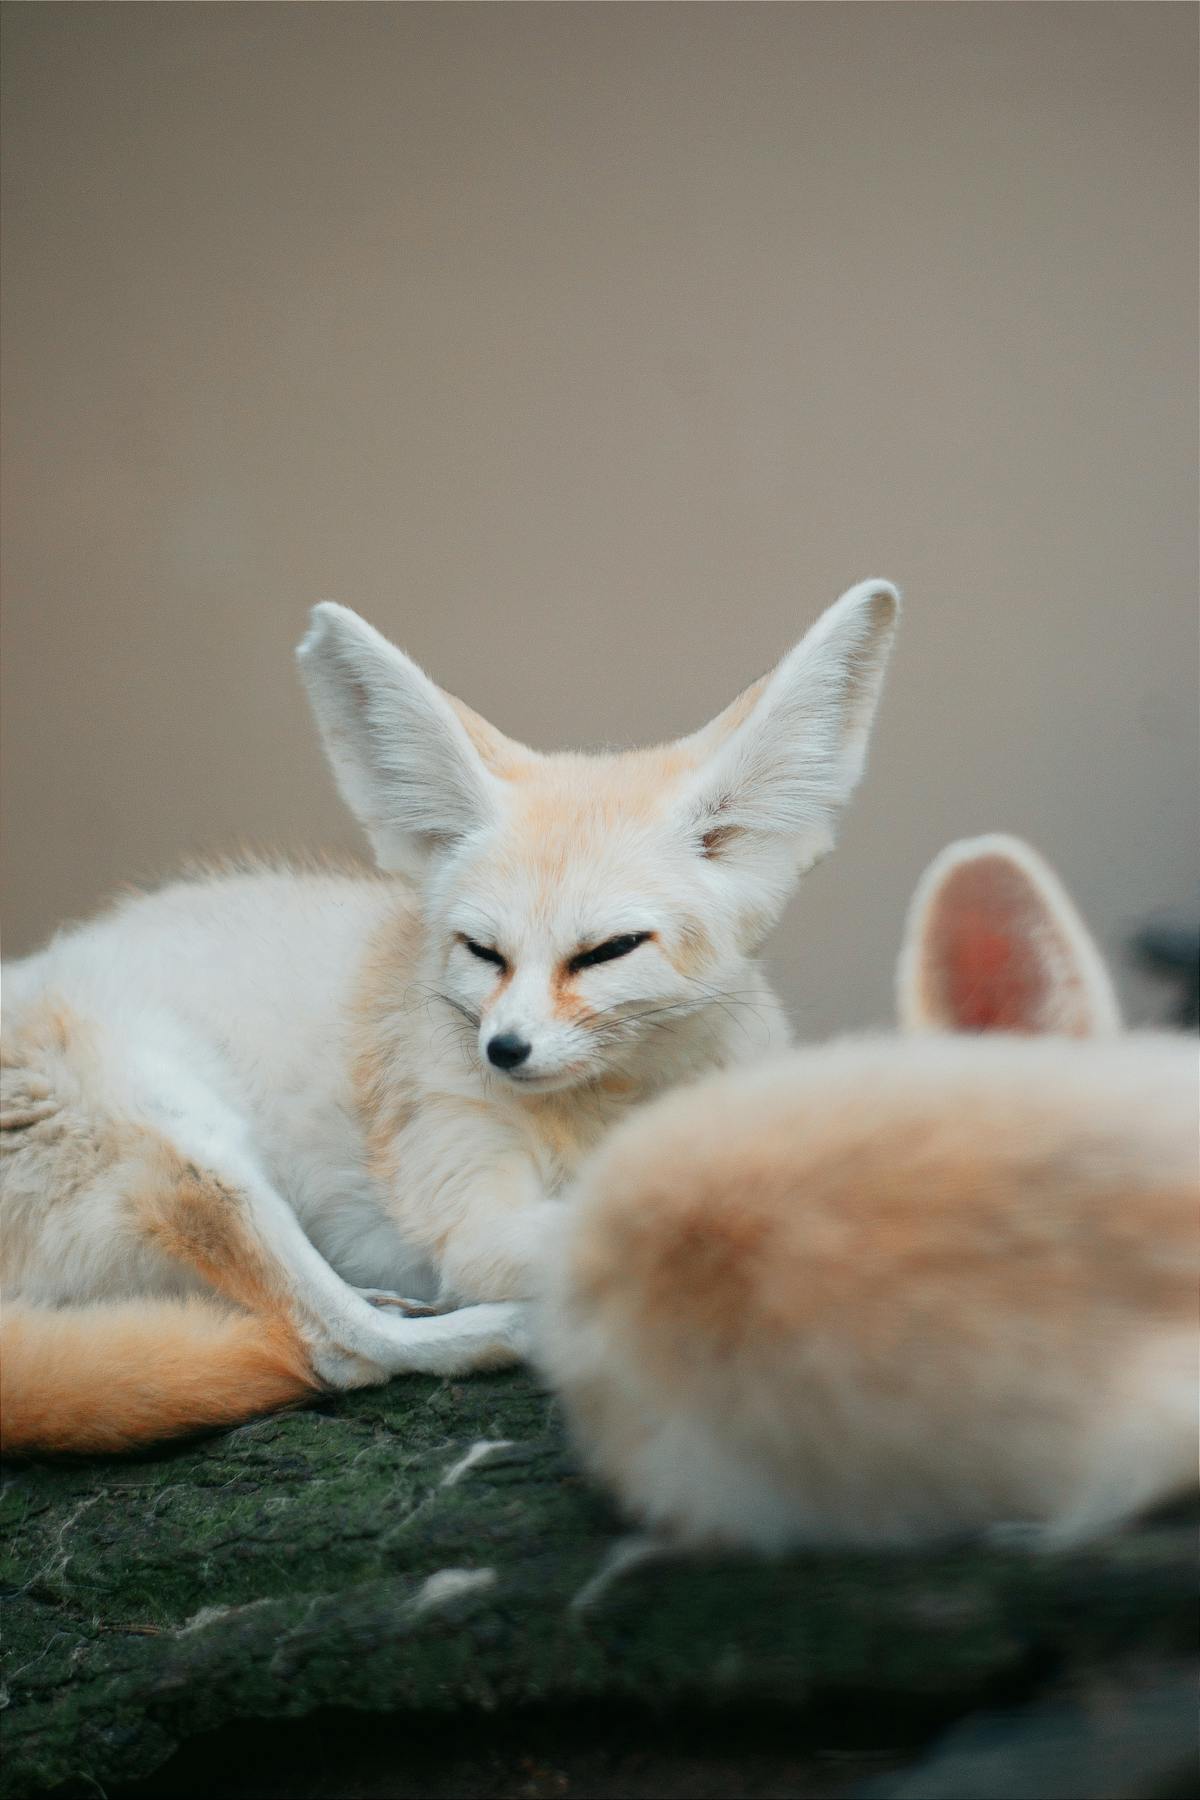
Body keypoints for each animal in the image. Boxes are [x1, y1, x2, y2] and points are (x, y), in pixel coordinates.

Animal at [0, 578, 900, 1455]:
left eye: (606, 951)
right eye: (482, 951)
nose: (503, 1050)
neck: (604, 1111)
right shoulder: (468, 1209)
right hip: (188, 1143)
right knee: (335, 1346)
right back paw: (497, 1330)